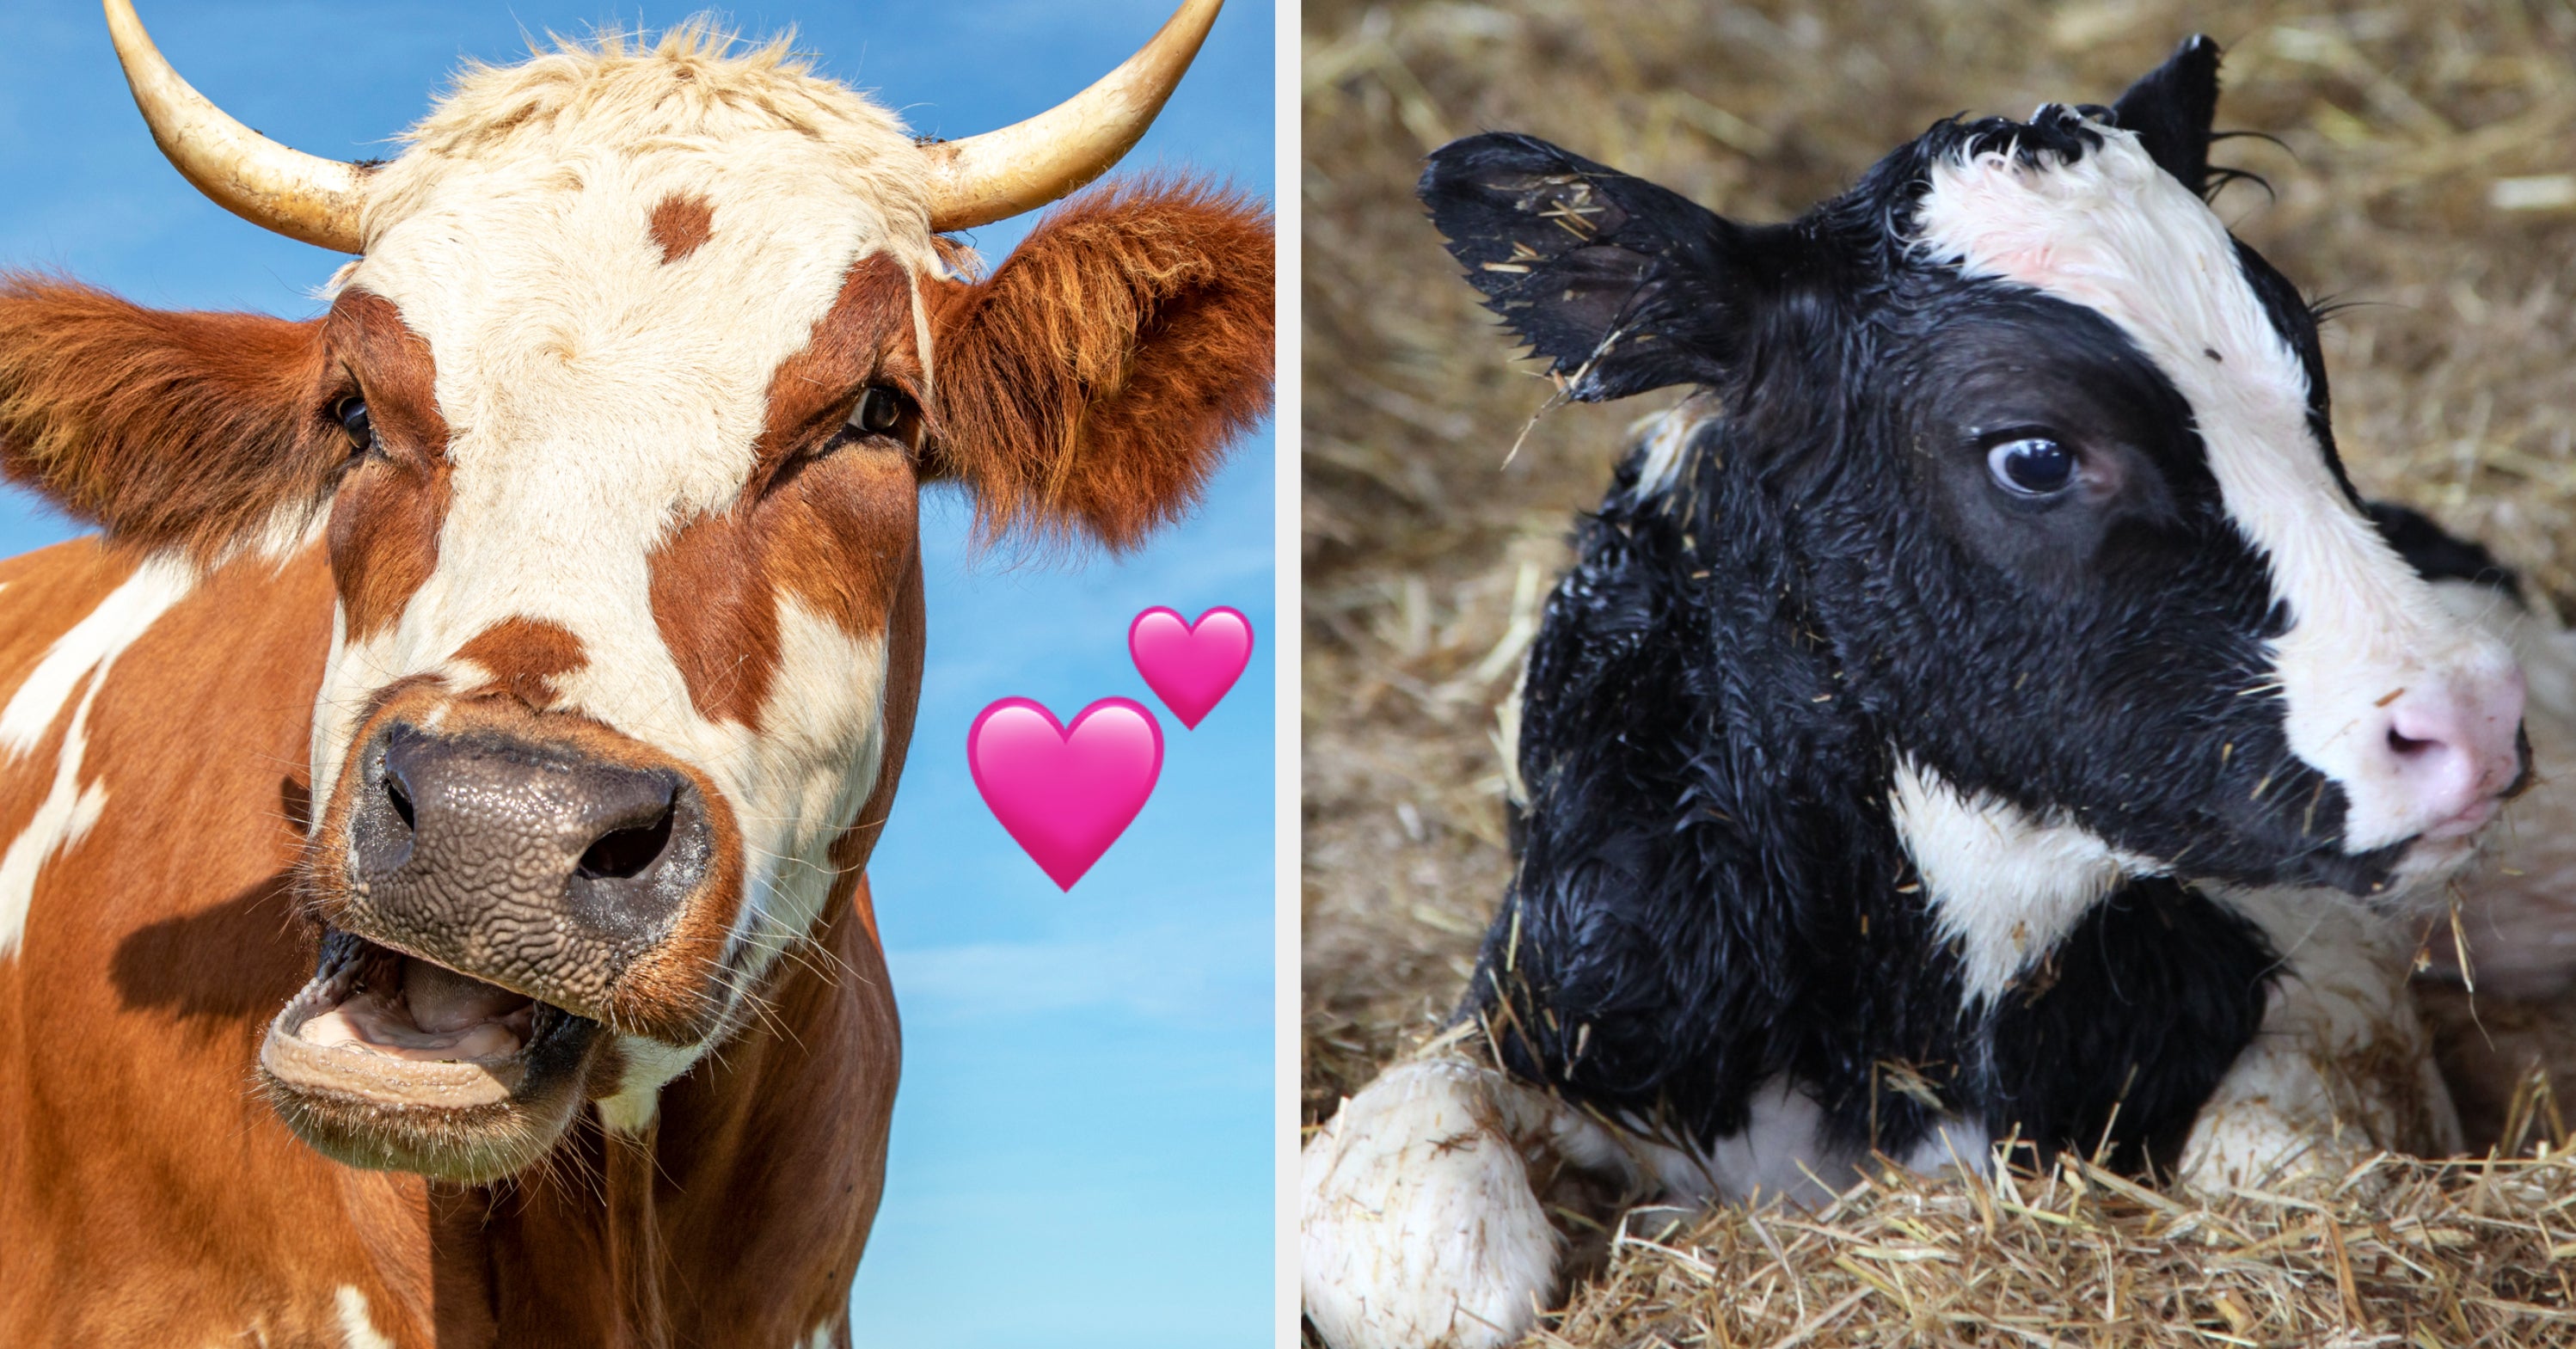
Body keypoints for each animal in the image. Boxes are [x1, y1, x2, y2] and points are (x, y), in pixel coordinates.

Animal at [1300, 38, 2527, 1349]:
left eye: (2311, 381)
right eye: (2033, 454)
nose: (2474, 715)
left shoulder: (2326, 967)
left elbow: (2274, 1156)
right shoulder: (1556, 995)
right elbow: (1424, 1253)